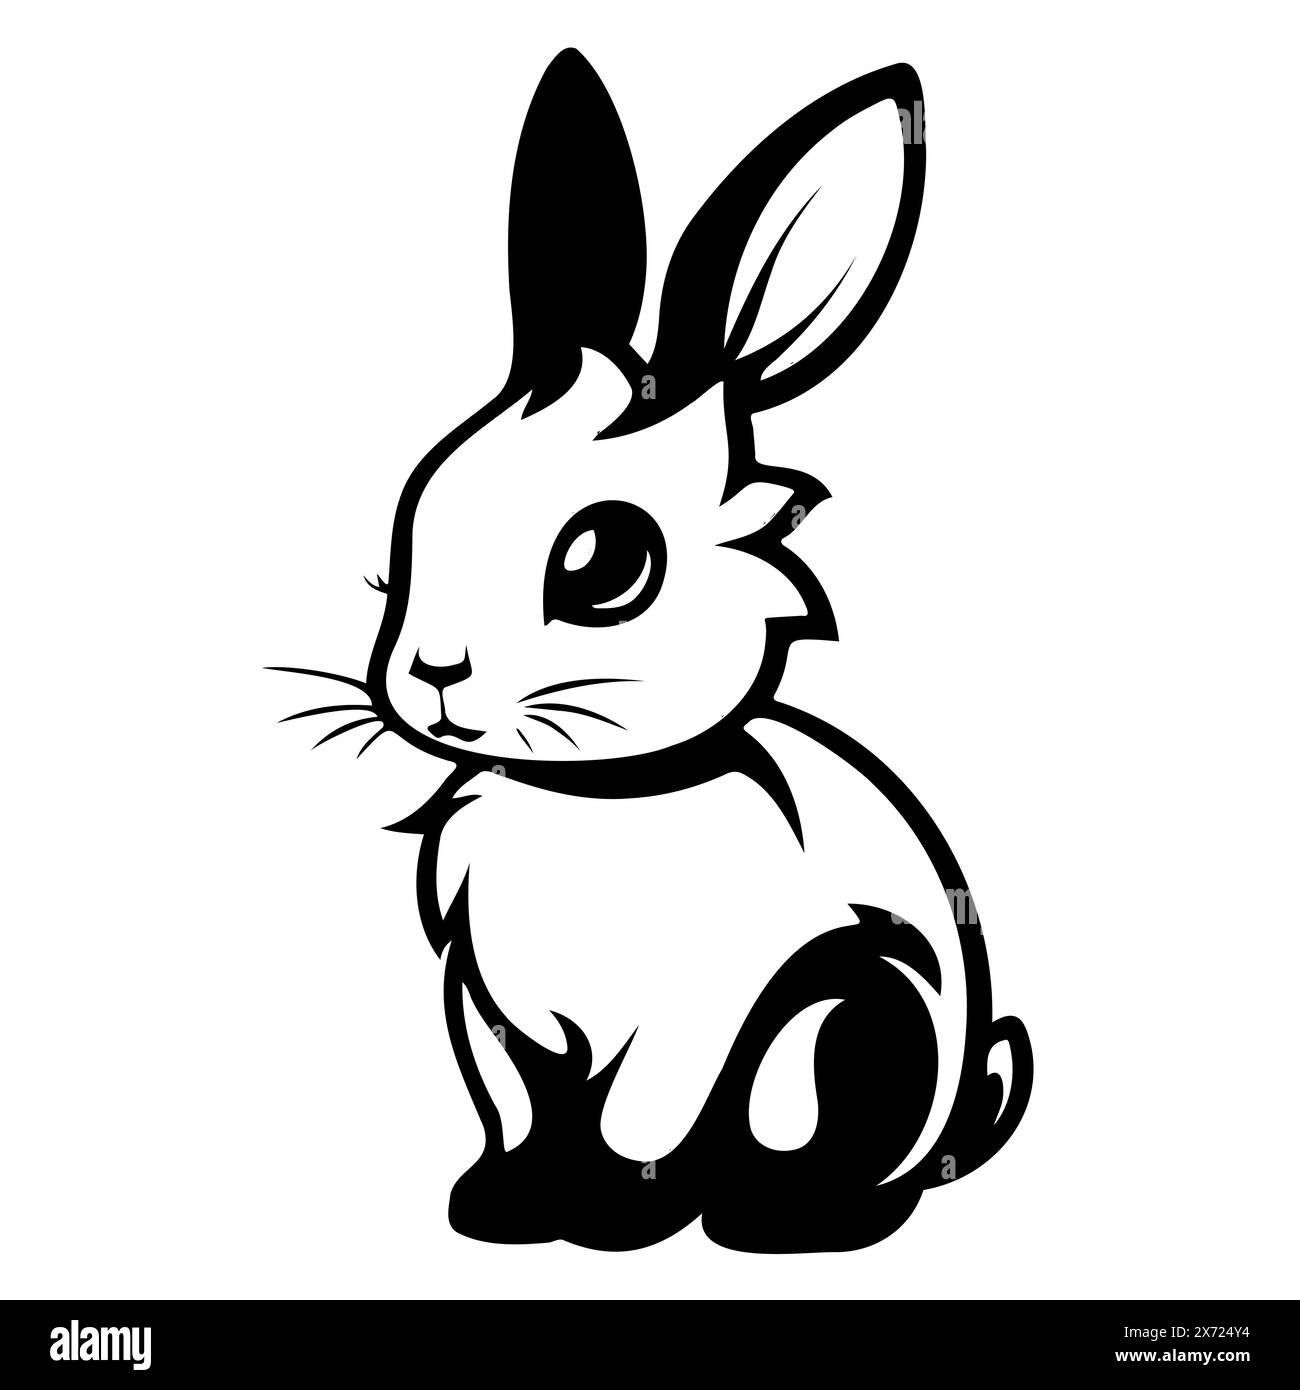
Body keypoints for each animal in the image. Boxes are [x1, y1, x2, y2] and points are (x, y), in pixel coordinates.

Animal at [275, 49, 1031, 1253]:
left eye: (604, 563)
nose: (433, 677)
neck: (595, 792)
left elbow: (640, 1121)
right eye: (417, 518)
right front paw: (503, 1206)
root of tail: (964, 1120)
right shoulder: (491, 1007)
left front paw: (615, 1219)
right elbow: (515, 1109)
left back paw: (776, 1221)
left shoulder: (695, 1011)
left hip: (855, 1010)